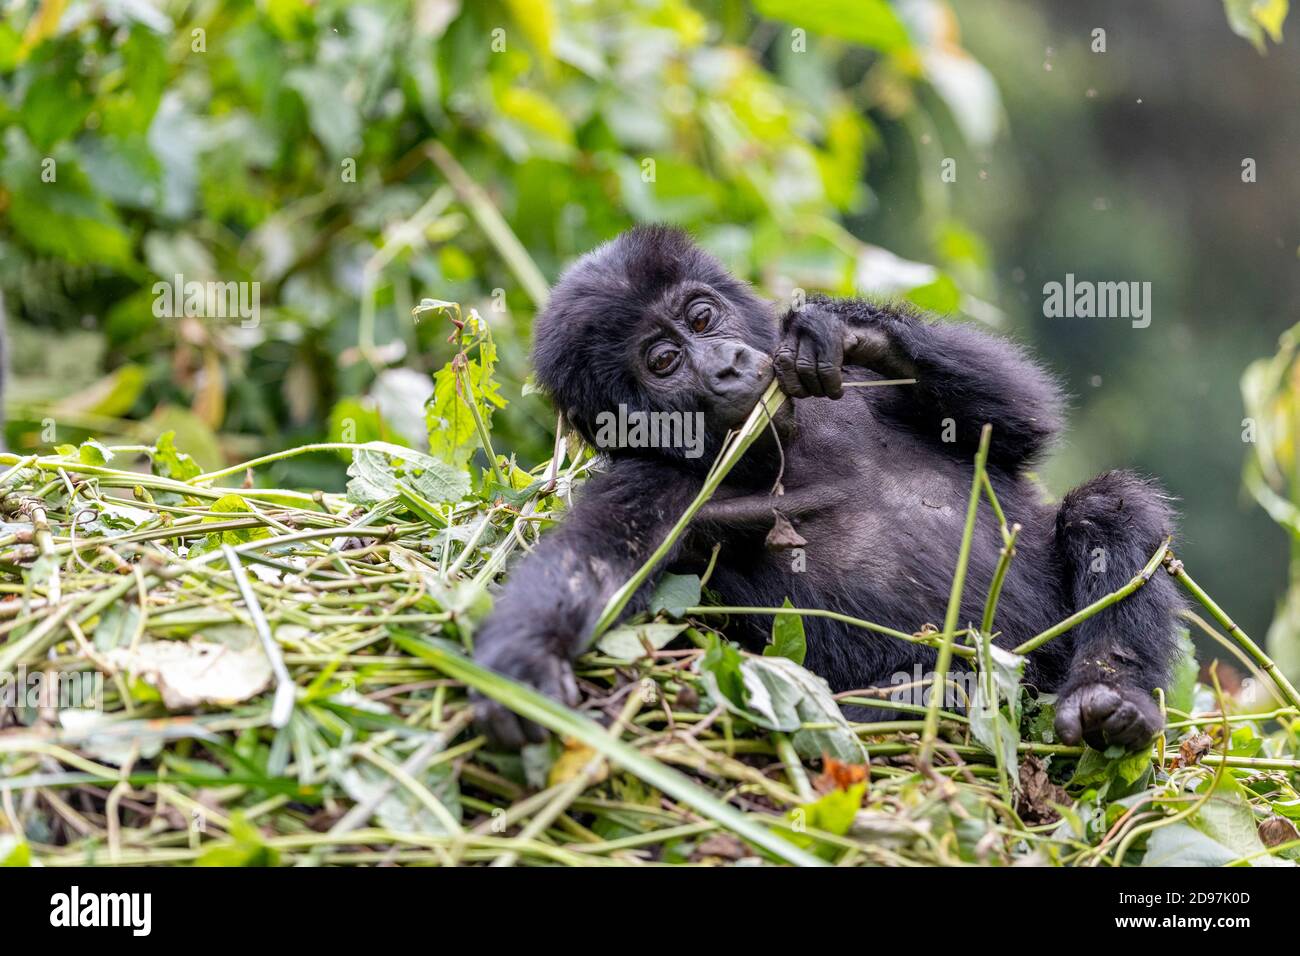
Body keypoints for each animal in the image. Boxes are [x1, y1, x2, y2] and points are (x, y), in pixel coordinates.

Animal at [471, 225, 1182, 754]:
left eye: (701, 317)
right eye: (664, 361)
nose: (727, 364)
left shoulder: (851, 386)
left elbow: (1019, 421)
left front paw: (846, 328)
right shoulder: (650, 482)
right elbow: (591, 560)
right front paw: (524, 660)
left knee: (1106, 506)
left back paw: (1109, 694)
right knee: (930, 692)